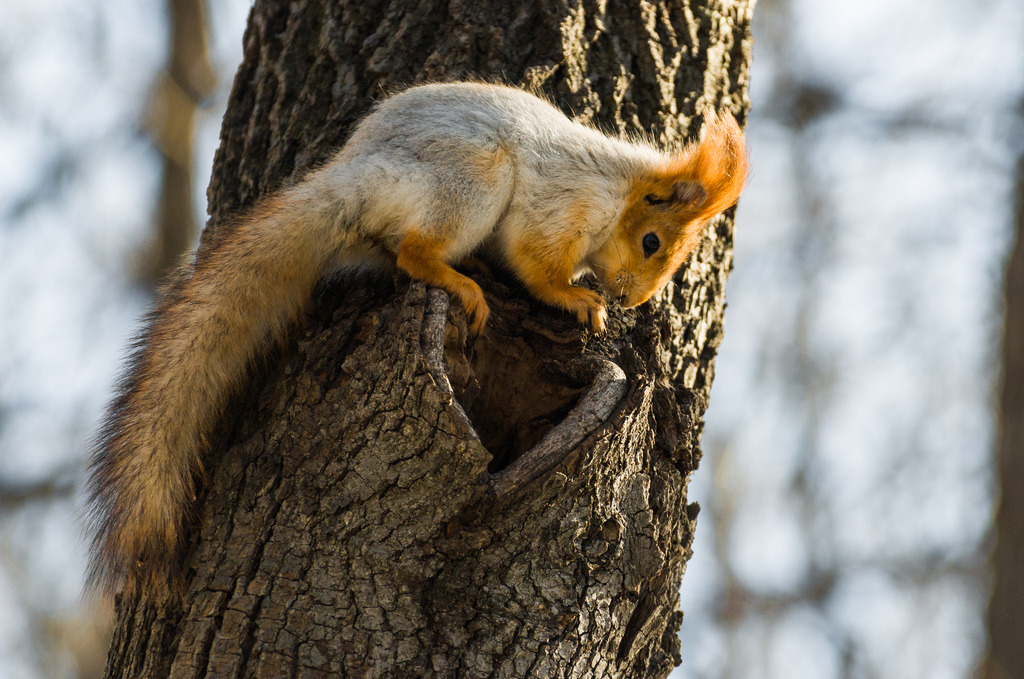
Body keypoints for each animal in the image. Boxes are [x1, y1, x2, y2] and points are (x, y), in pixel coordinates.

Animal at [85, 82, 747, 596]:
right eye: (652, 242)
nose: (634, 301)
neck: (620, 189)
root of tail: (349, 183)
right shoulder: (564, 205)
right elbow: (536, 264)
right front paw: (579, 300)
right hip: (471, 178)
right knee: (413, 252)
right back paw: (459, 280)